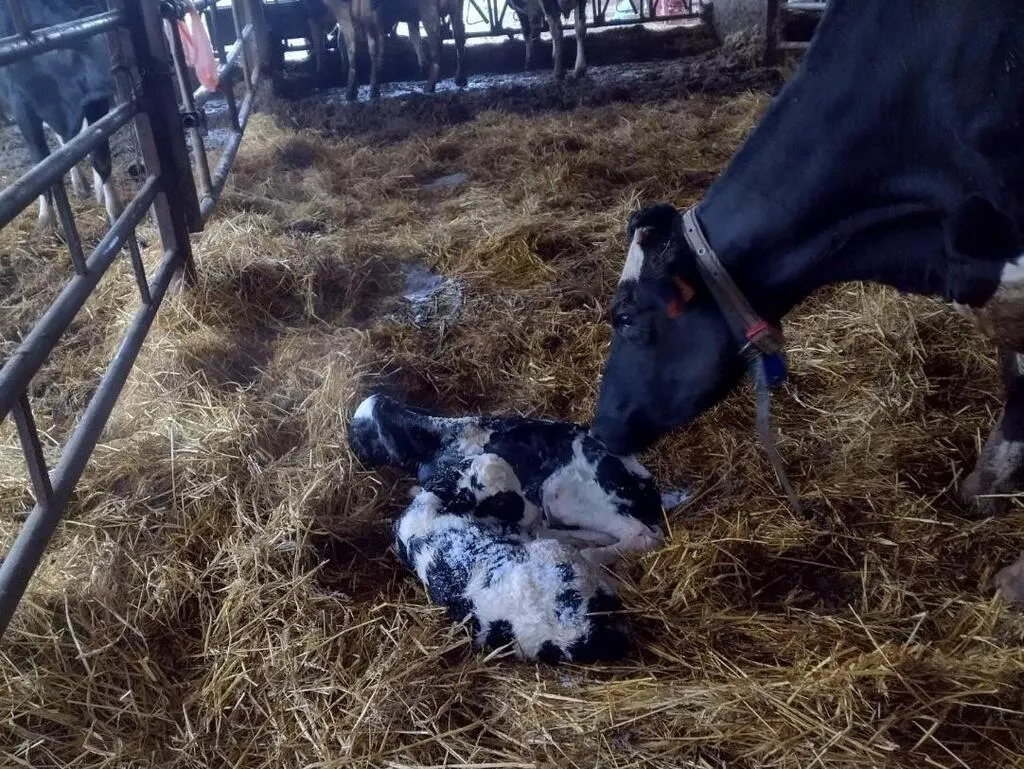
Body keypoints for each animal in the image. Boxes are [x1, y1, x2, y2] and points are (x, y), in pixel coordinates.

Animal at [0, 0, 122, 231]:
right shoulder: (20, 103)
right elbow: (40, 162)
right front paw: (47, 218)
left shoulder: (93, 98)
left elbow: (100, 157)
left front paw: (115, 213)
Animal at [312, 0, 466, 101]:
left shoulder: (342, 10)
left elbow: (348, 46)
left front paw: (351, 89)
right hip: (456, 7)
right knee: (459, 36)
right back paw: (459, 78)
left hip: (428, 7)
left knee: (436, 41)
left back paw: (430, 85)